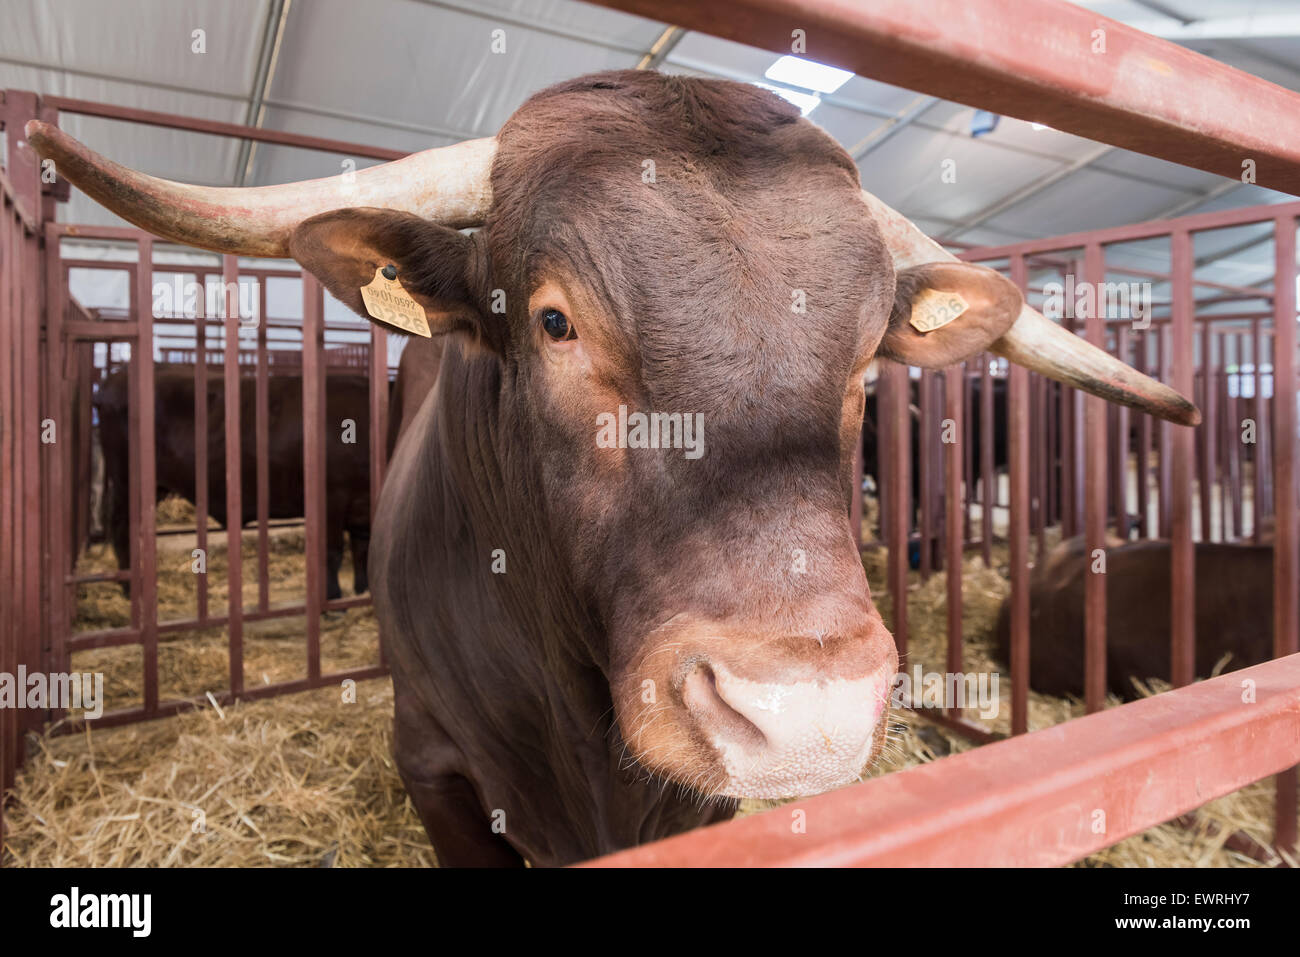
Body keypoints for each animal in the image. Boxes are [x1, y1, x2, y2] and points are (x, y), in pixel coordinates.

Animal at [95, 365, 373, 601]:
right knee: (121, 528)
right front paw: (334, 599)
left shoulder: (361, 505)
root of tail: (115, 377)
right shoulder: (332, 497)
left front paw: (364, 588)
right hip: (126, 482)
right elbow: (333, 551)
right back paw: (129, 589)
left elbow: (363, 547)